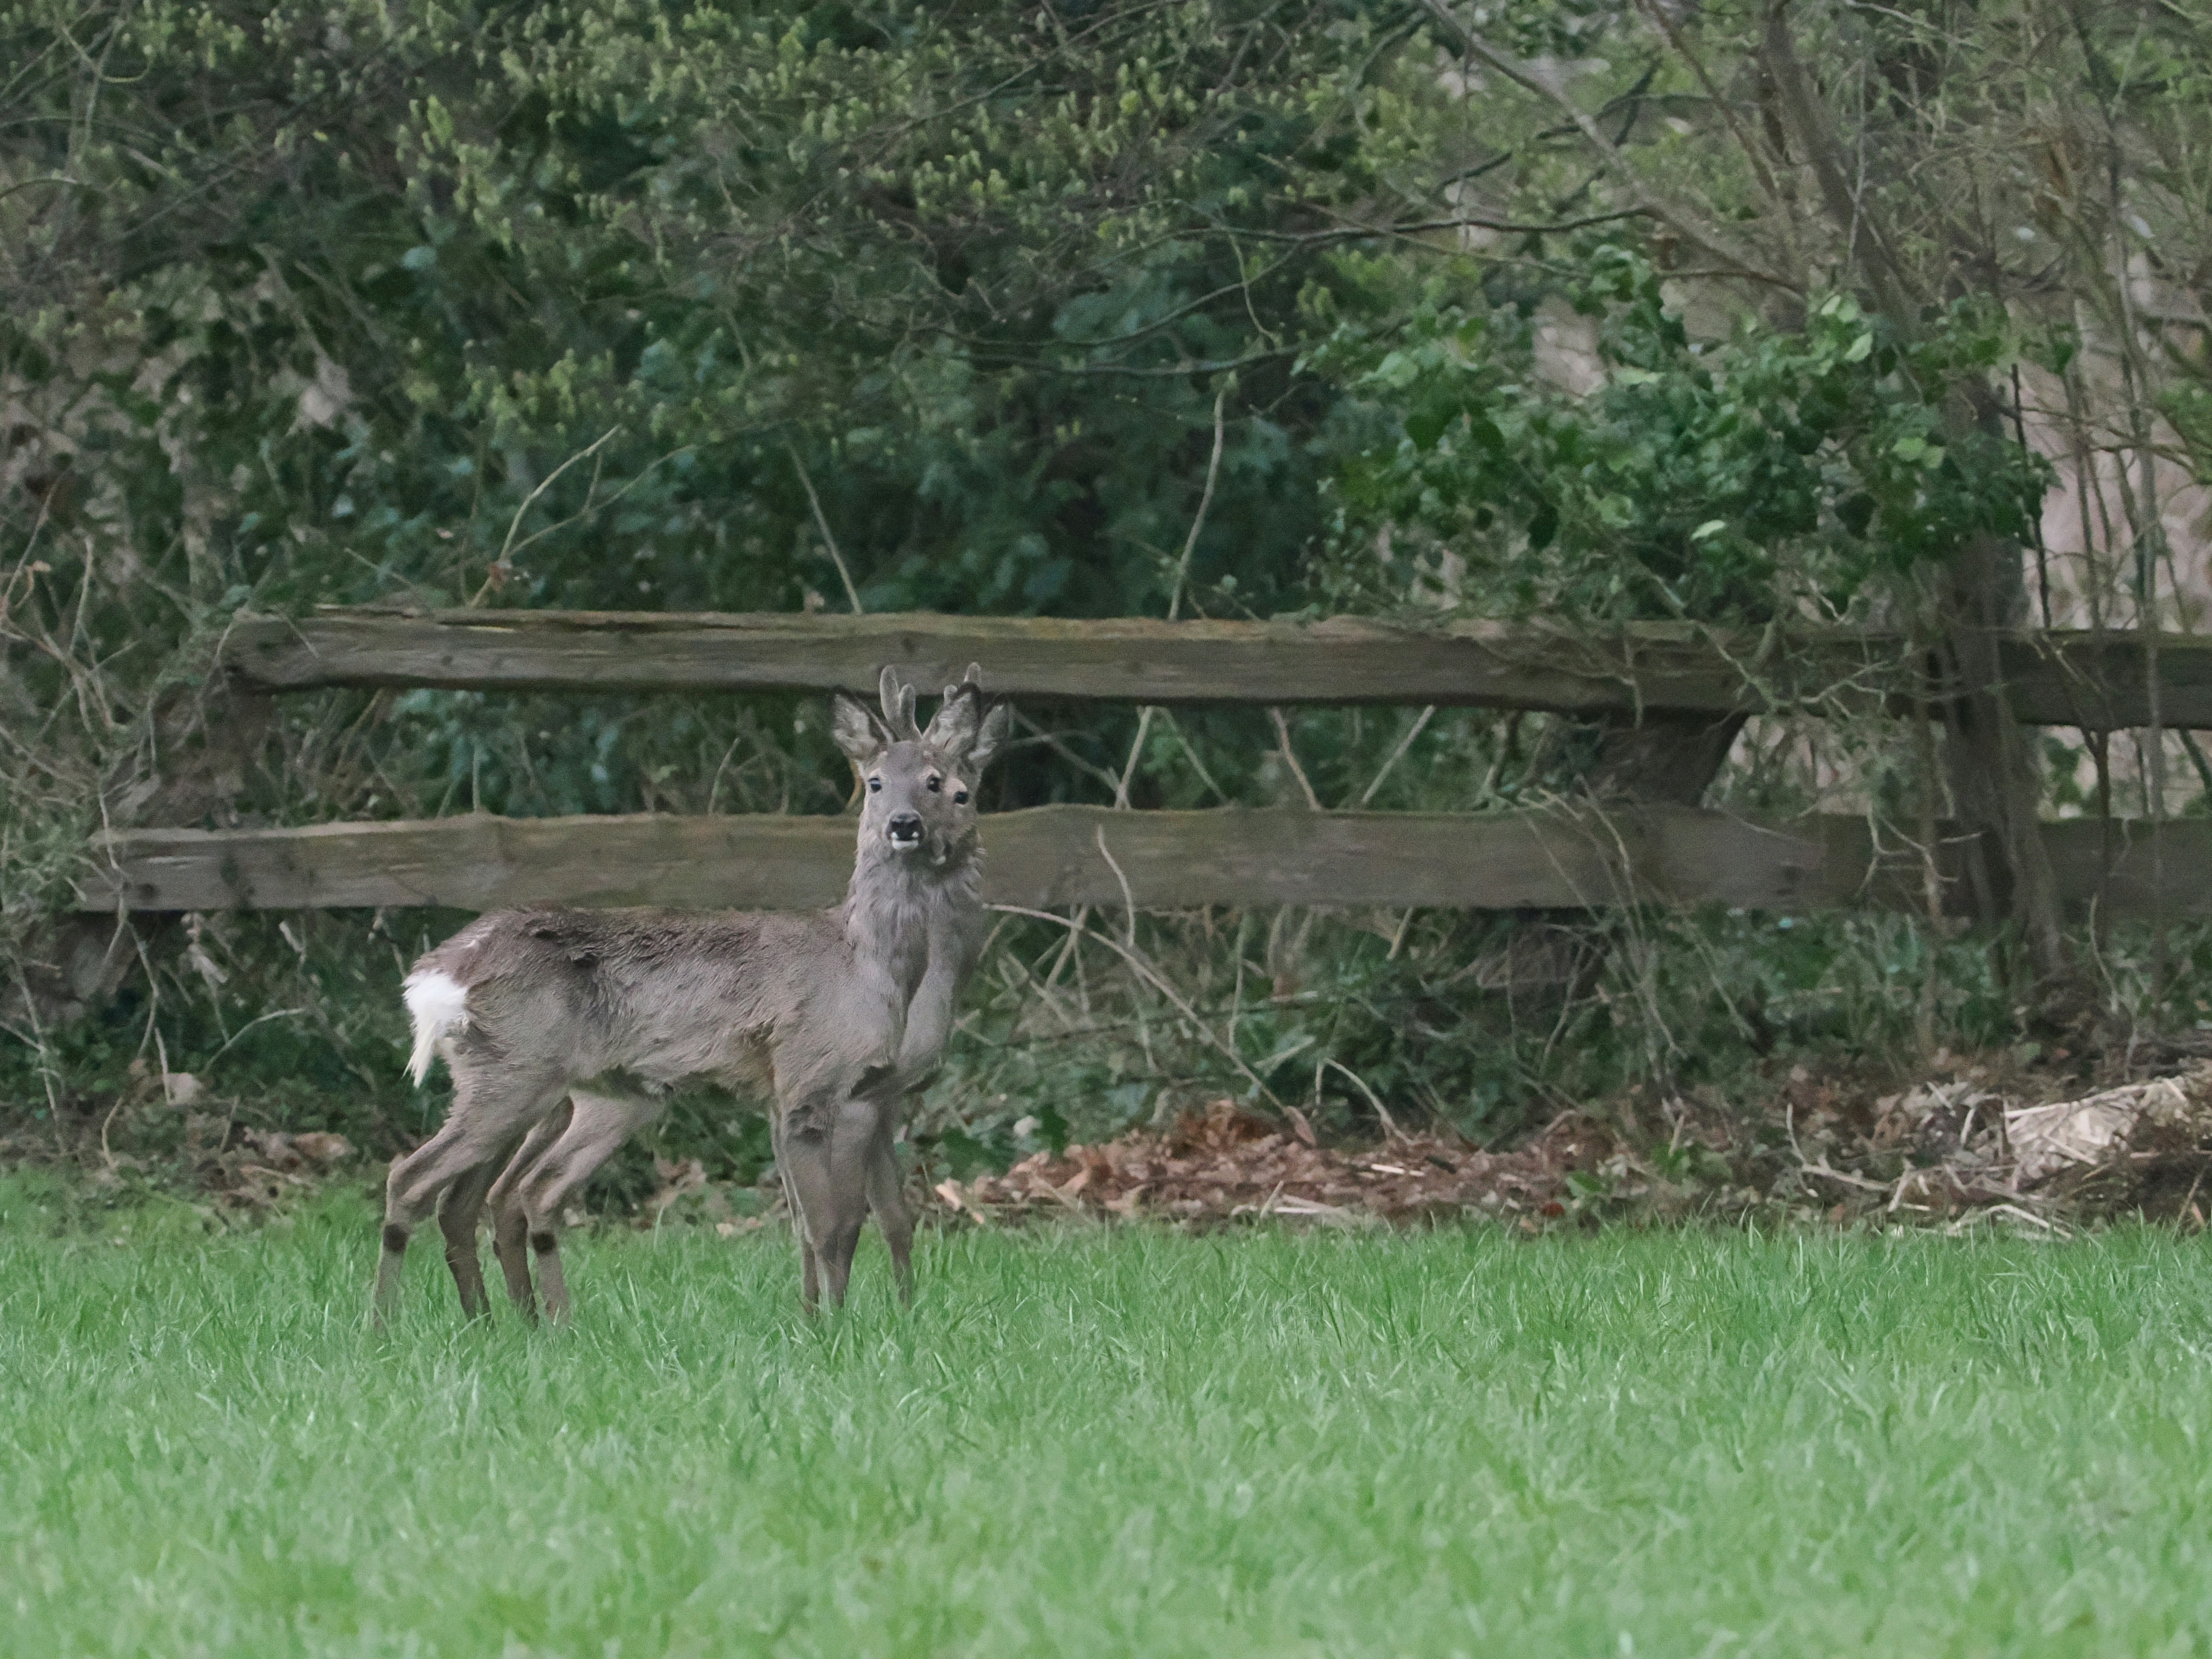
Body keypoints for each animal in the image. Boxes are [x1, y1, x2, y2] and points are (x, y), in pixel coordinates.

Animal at [371, 665, 1010, 1325]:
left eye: (940, 784)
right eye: (876, 781)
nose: (905, 825)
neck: (866, 965)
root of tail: (437, 977)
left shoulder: (833, 1093)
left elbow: (851, 1223)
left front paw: (835, 1319)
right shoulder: (812, 1082)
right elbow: (834, 1227)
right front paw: (837, 1326)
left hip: (565, 1089)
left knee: (478, 1196)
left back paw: (500, 1322)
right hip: (520, 1075)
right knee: (416, 1180)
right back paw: (389, 1325)